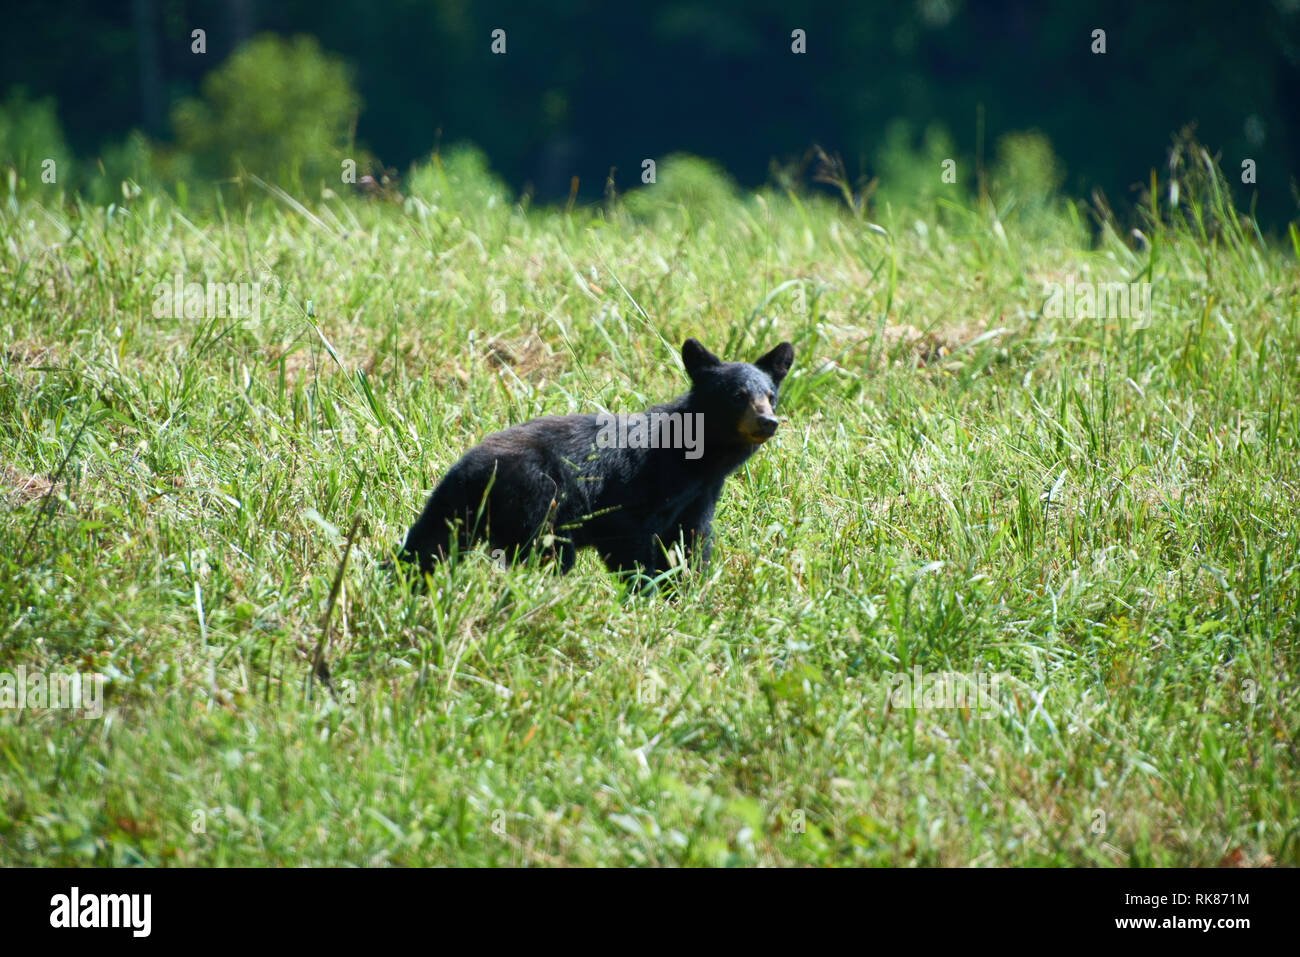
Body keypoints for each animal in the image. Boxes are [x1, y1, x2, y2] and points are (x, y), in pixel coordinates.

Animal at [395, 337, 794, 583]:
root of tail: (463, 469)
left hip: (459, 511)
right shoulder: (639, 486)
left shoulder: (698, 496)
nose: (767, 422)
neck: (699, 459)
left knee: (427, 546)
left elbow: (688, 544)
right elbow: (630, 539)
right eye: (738, 395)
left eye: (770, 395)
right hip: (536, 500)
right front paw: (644, 594)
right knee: (545, 554)